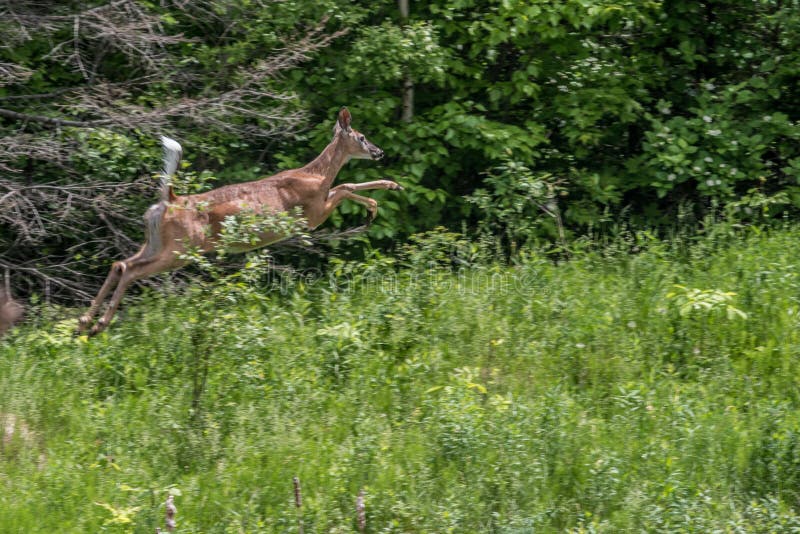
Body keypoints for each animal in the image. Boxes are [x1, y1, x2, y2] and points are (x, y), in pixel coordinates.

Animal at [77, 107, 403, 336]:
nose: (379, 151)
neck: (316, 174)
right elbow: (346, 185)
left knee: (120, 263)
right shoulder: (311, 213)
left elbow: (344, 185)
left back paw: (84, 321)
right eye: (361, 137)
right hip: (181, 247)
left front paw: (384, 196)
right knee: (131, 269)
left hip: (155, 241)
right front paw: (380, 201)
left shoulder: (317, 205)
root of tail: (170, 200)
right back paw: (98, 324)